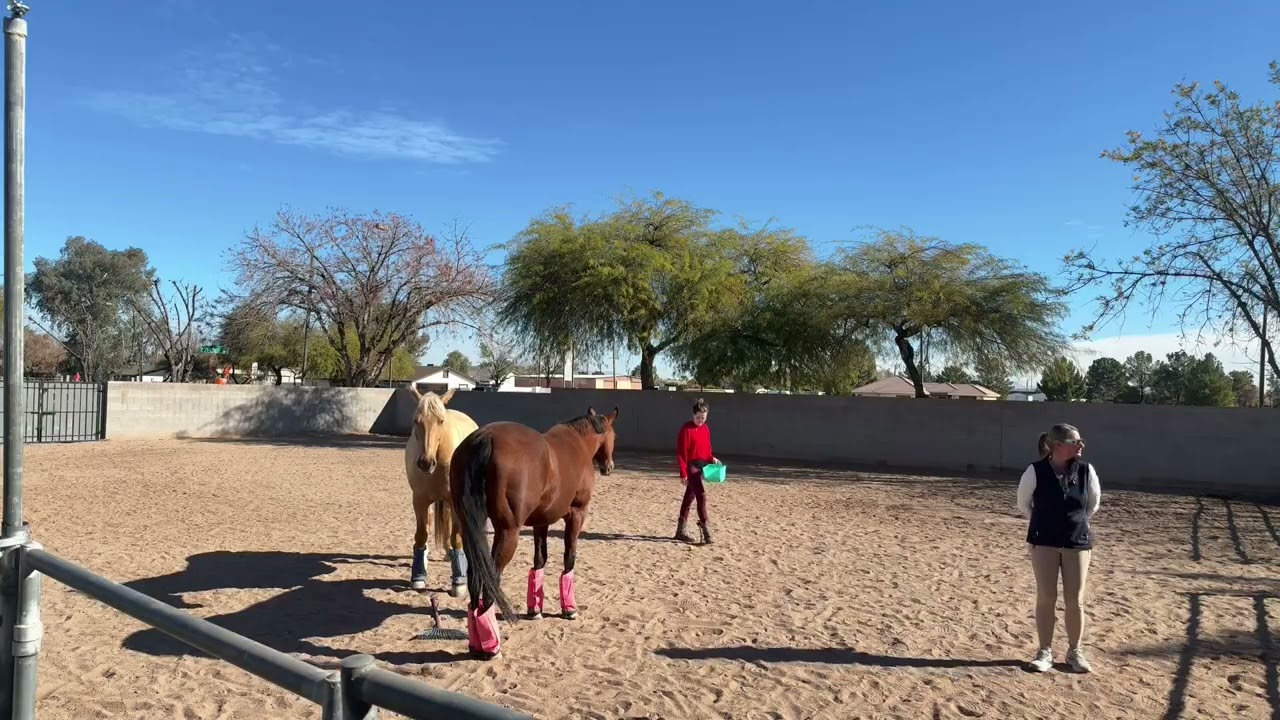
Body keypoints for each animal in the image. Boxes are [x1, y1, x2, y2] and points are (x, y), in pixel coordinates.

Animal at [404, 385, 479, 597]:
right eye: (416, 421)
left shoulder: (456, 501)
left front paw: (459, 581)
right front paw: (418, 576)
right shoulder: (420, 500)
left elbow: (457, 537)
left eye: (441, 421)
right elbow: (422, 534)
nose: (425, 463)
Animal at [450, 406, 619, 658]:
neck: (578, 442)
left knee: (475, 576)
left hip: (471, 530)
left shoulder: (541, 522)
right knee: (492, 578)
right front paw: (569, 609)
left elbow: (539, 560)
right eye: (613, 436)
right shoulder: (577, 514)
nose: (609, 466)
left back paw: (476, 642)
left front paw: (535, 609)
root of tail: (484, 438)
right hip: (507, 532)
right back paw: (491, 646)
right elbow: (569, 558)